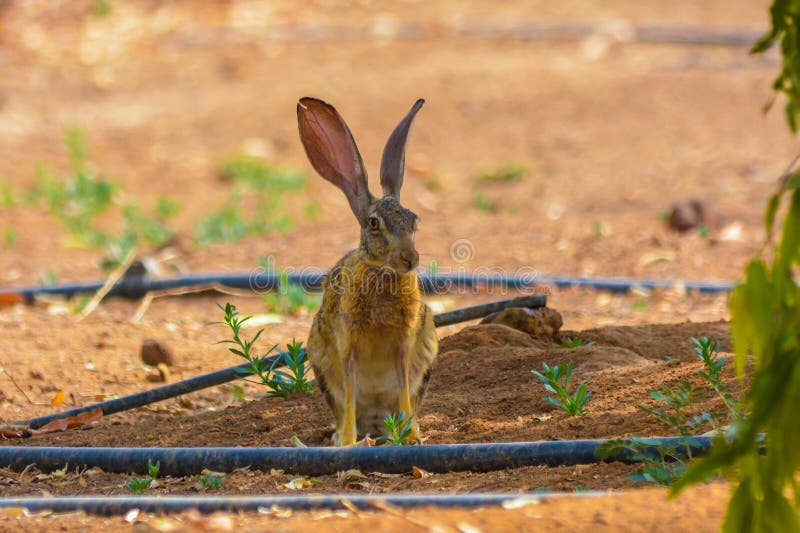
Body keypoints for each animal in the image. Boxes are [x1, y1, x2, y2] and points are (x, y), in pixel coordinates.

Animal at [297, 97, 438, 446]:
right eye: (374, 224)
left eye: (414, 220)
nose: (410, 258)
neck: (381, 271)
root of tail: (375, 418)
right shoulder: (349, 346)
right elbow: (349, 391)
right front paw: (347, 442)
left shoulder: (404, 347)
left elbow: (403, 389)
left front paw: (411, 437)